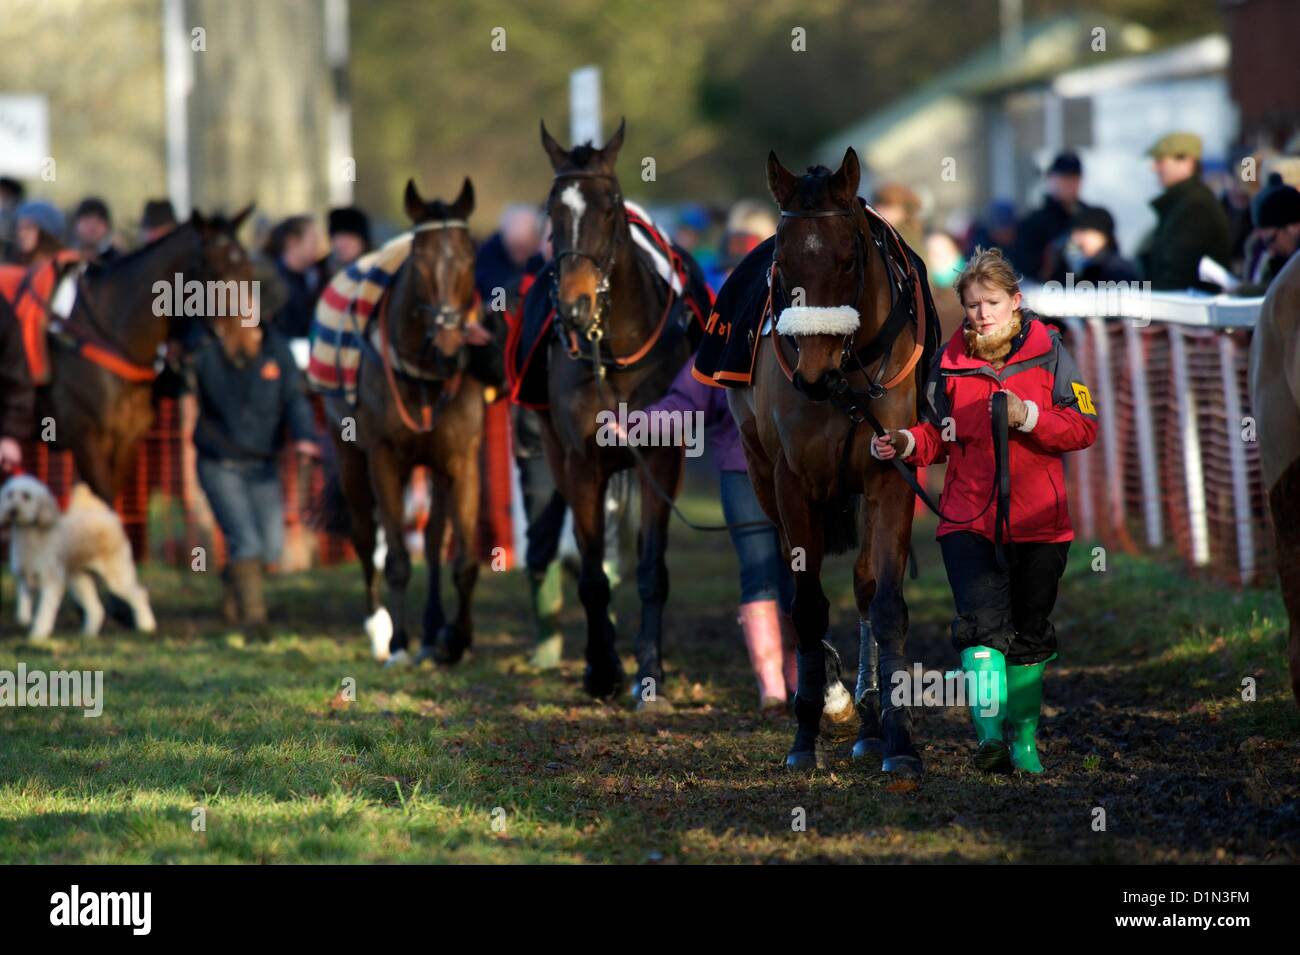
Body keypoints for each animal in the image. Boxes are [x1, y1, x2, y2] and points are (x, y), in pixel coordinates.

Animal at [329, 178, 485, 667]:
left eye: (470, 256)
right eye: (419, 260)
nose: (451, 344)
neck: (423, 376)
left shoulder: (461, 457)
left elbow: (461, 557)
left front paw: (457, 639)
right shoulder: (381, 454)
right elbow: (395, 556)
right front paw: (399, 641)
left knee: (432, 541)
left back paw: (433, 631)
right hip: (348, 455)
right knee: (365, 536)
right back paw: (379, 629)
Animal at [535, 119, 705, 705]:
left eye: (609, 207)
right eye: (552, 209)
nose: (574, 307)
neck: (615, 355)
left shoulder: (661, 461)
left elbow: (652, 569)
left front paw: (649, 672)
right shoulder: (582, 463)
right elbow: (592, 576)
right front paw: (603, 668)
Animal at [726, 148, 928, 773]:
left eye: (846, 260)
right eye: (781, 263)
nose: (812, 374)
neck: (846, 382)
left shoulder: (890, 471)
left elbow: (883, 599)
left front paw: (898, 739)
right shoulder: (793, 482)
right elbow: (809, 604)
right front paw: (806, 732)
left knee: (863, 583)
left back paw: (869, 717)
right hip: (759, 471)